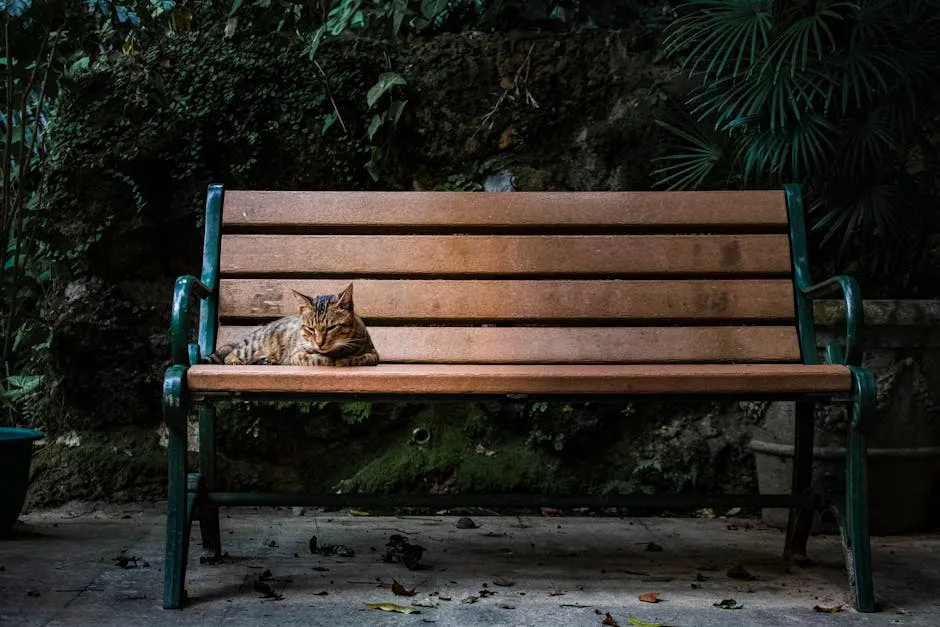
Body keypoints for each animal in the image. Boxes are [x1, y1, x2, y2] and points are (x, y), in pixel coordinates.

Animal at [207, 284, 380, 368]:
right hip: (252, 347)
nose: (319, 343)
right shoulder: (296, 354)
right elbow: (315, 359)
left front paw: (342, 360)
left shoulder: (373, 354)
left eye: (331, 328)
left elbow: (358, 358)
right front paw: (328, 360)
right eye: (310, 329)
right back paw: (235, 360)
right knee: (231, 354)